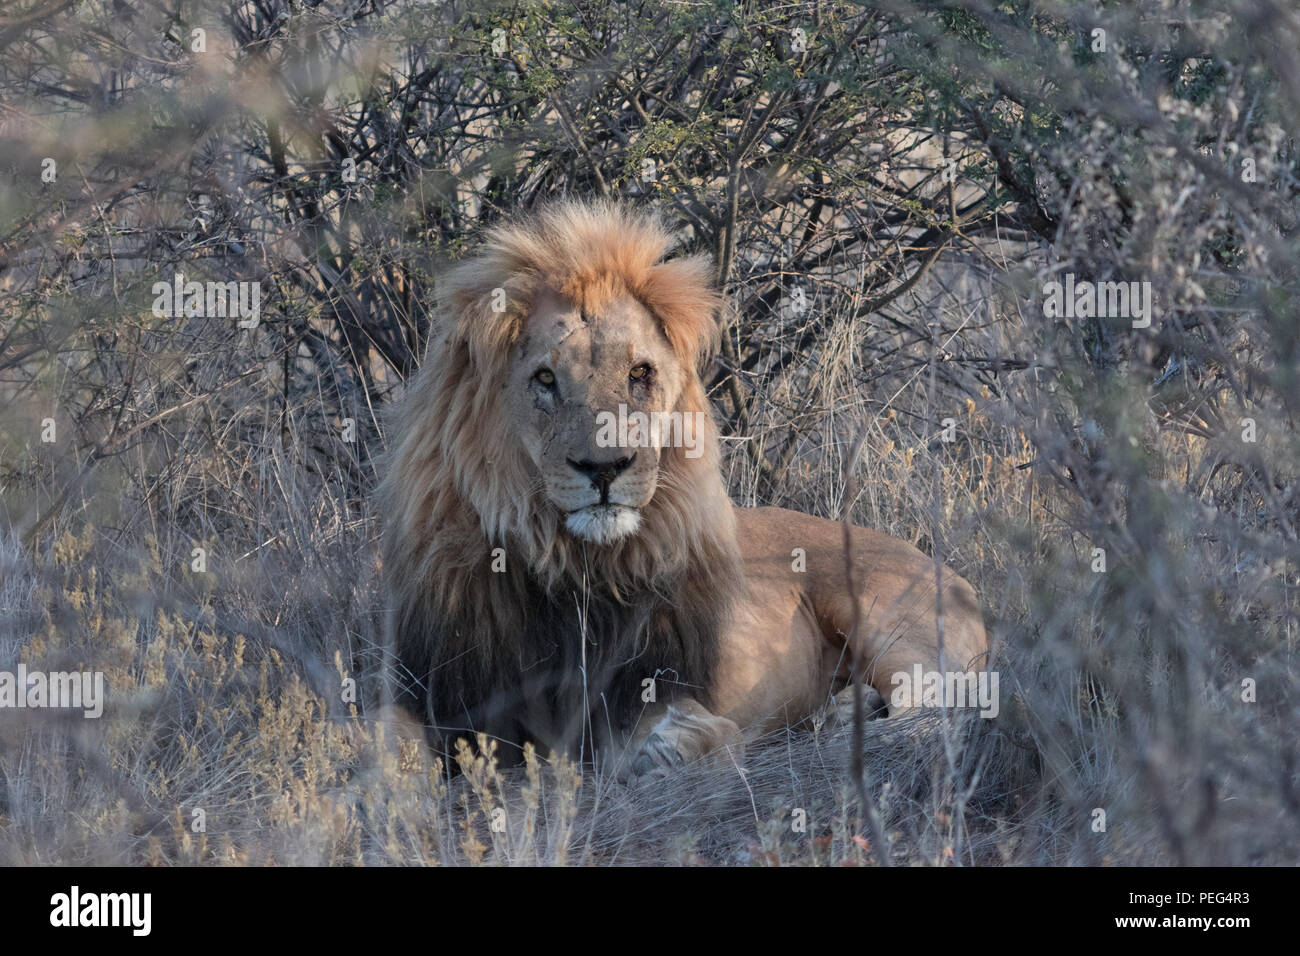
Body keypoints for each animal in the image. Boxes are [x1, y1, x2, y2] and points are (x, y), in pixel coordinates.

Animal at [378, 200, 989, 780]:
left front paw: (668, 753)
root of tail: (957, 576)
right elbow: (382, 749)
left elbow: (691, 738)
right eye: (545, 379)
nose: (604, 468)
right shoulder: (438, 689)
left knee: (933, 710)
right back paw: (837, 711)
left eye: (640, 374)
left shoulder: (650, 685)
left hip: (892, 624)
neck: (570, 565)